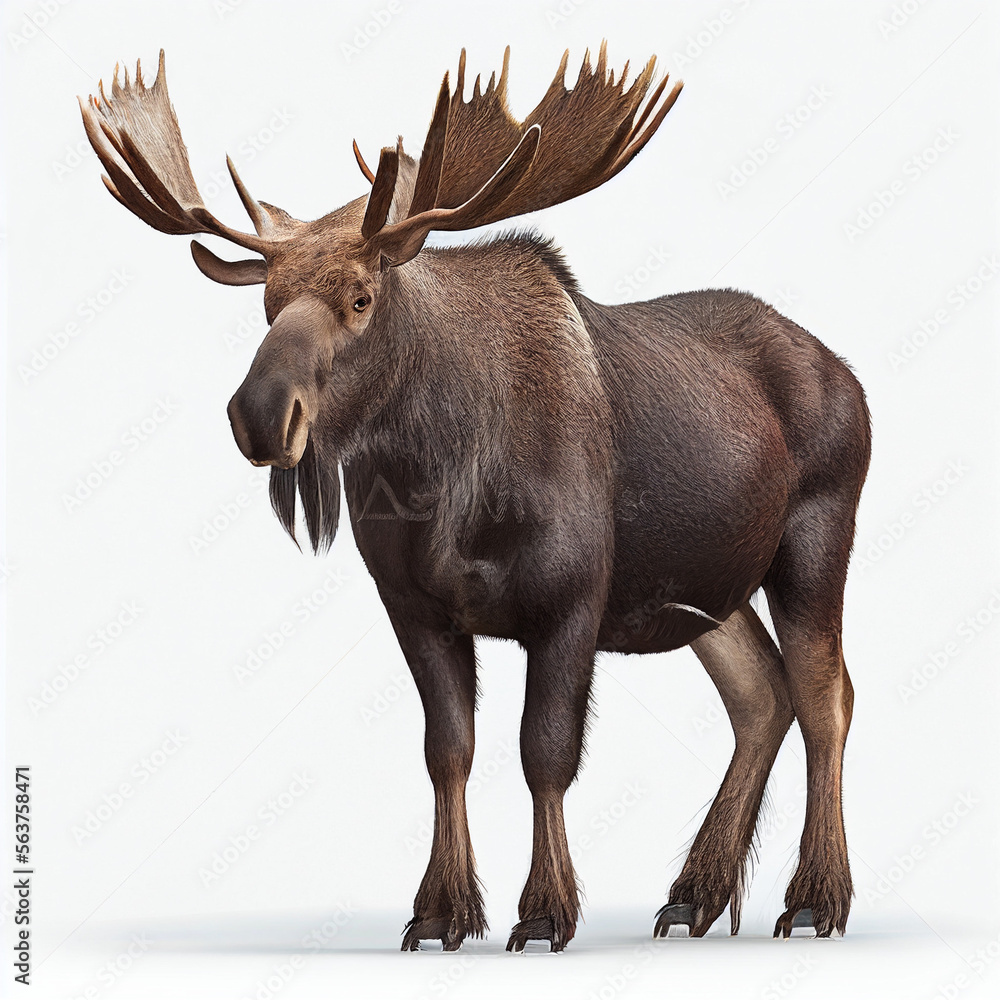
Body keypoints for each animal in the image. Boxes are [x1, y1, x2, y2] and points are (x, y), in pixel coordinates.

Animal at [79, 44, 871, 953]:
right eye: (267, 302)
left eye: (361, 296)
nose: (259, 414)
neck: (439, 492)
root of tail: (852, 380)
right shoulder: (416, 608)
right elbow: (447, 750)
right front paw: (441, 909)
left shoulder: (571, 601)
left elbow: (546, 754)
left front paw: (545, 909)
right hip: (705, 587)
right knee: (760, 695)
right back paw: (694, 897)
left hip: (817, 536)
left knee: (826, 696)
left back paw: (814, 898)